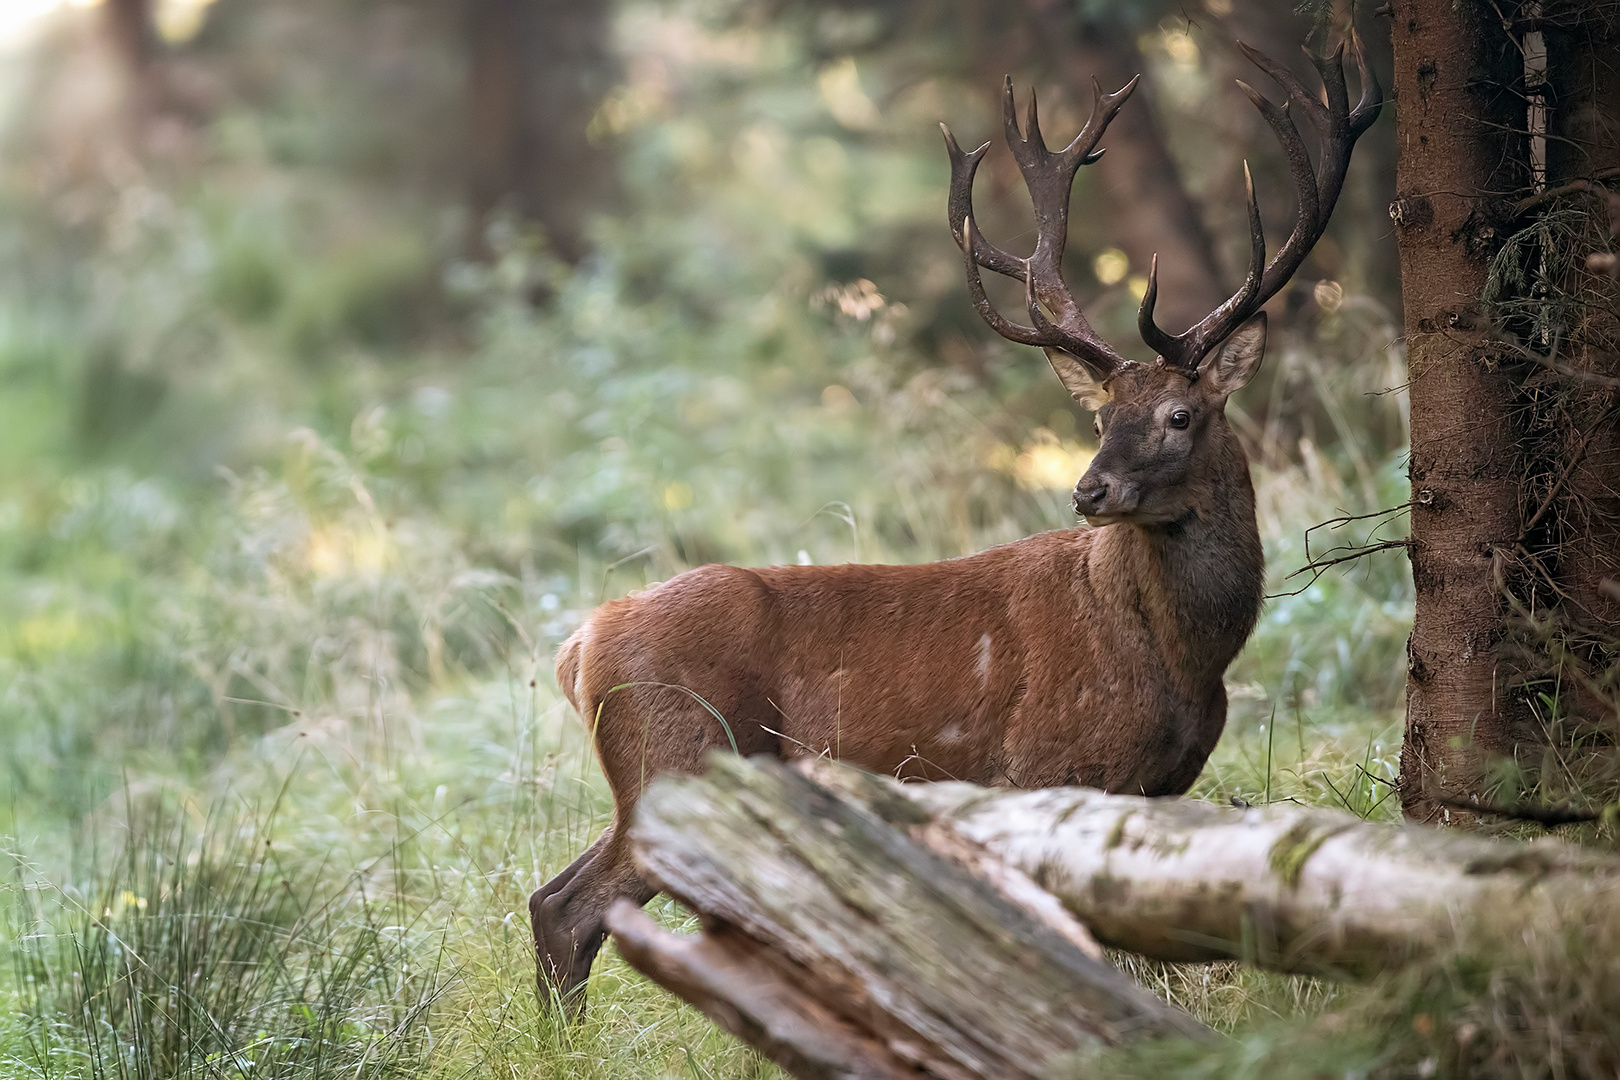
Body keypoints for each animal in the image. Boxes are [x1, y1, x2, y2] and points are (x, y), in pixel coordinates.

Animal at [531, 39, 1380, 1010]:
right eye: (1101, 416)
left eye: (1179, 415)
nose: (1089, 491)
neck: (1181, 657)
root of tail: (579, 645)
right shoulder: (1053, 766)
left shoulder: (1160, 786)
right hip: (680, 756)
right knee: (574, 906)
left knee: (555, 898)